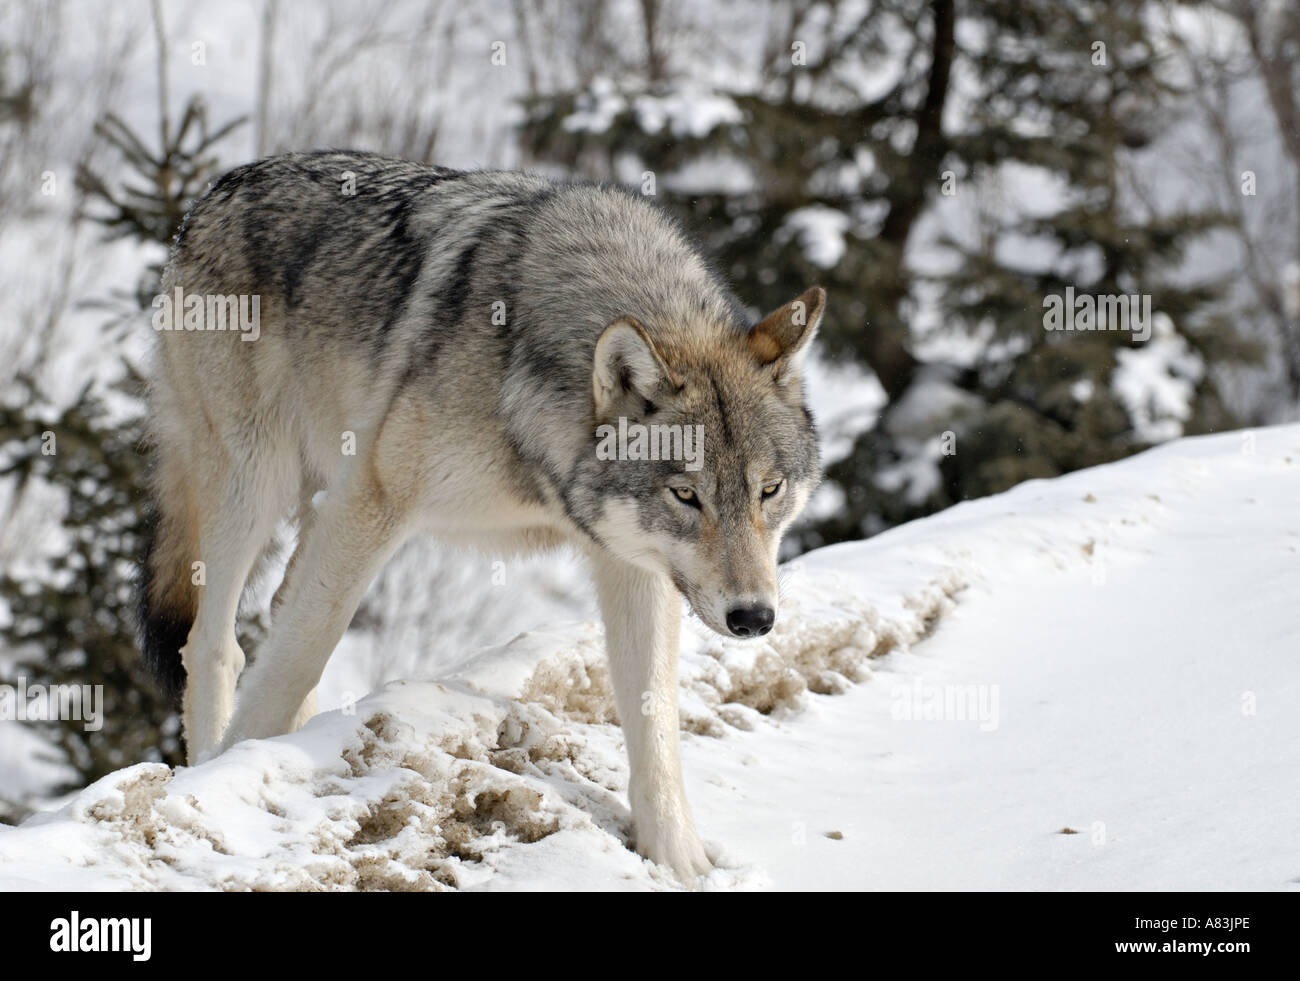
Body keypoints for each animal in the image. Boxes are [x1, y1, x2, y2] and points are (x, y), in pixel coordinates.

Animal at [137, 151, 824, 882]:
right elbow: (289, 662)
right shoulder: (374, 500)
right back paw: (216, 759)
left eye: (769, 489)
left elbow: (653, 720)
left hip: (317, 499)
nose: (754, 618)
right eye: (687, 496)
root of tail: (216, 190)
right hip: (255, 482)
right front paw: (233, 775)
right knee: (216, 644)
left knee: (281, 611)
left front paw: (679, 861)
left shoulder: (634, 562)